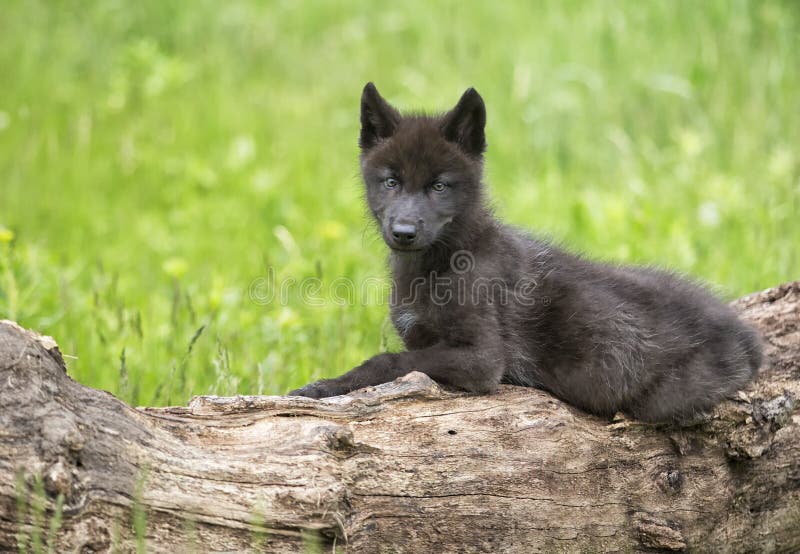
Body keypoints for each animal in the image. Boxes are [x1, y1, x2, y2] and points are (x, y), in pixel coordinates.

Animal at [289, 83, 762, 423]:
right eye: (391, 181)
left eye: (439, 185)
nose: (403, 232)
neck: (441, 262)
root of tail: (745, 337)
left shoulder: (483, 359)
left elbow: (390, 360)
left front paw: (323, 386)